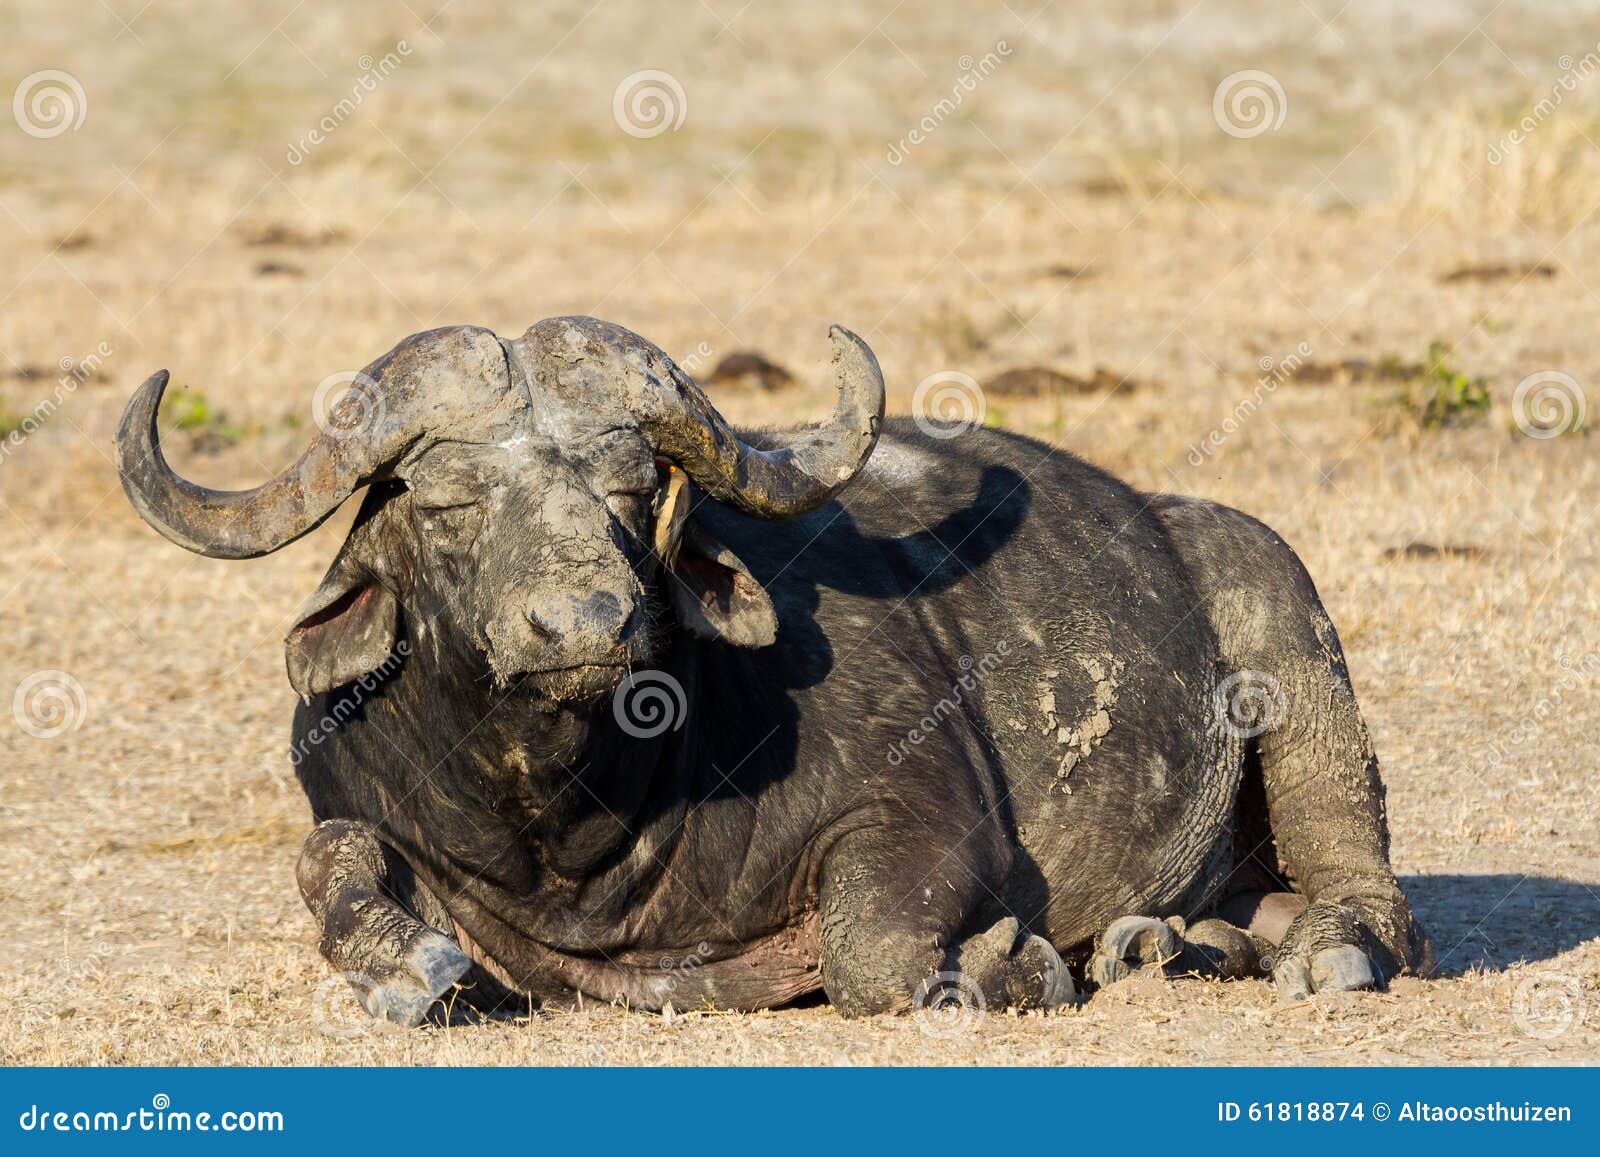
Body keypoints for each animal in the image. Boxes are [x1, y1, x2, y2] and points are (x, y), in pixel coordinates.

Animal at [116, 317, 1433, 1027]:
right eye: (447, 503)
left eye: (630, 488)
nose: (585, 619)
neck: (576, 819)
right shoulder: (353, 801)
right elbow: (331, 857)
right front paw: (403, 962)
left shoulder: (924, 812)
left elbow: (874, 949)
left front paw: (1012, 959)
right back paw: (1164, 943)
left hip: (1284, 611)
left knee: (1365, 885)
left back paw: (1318, 947)